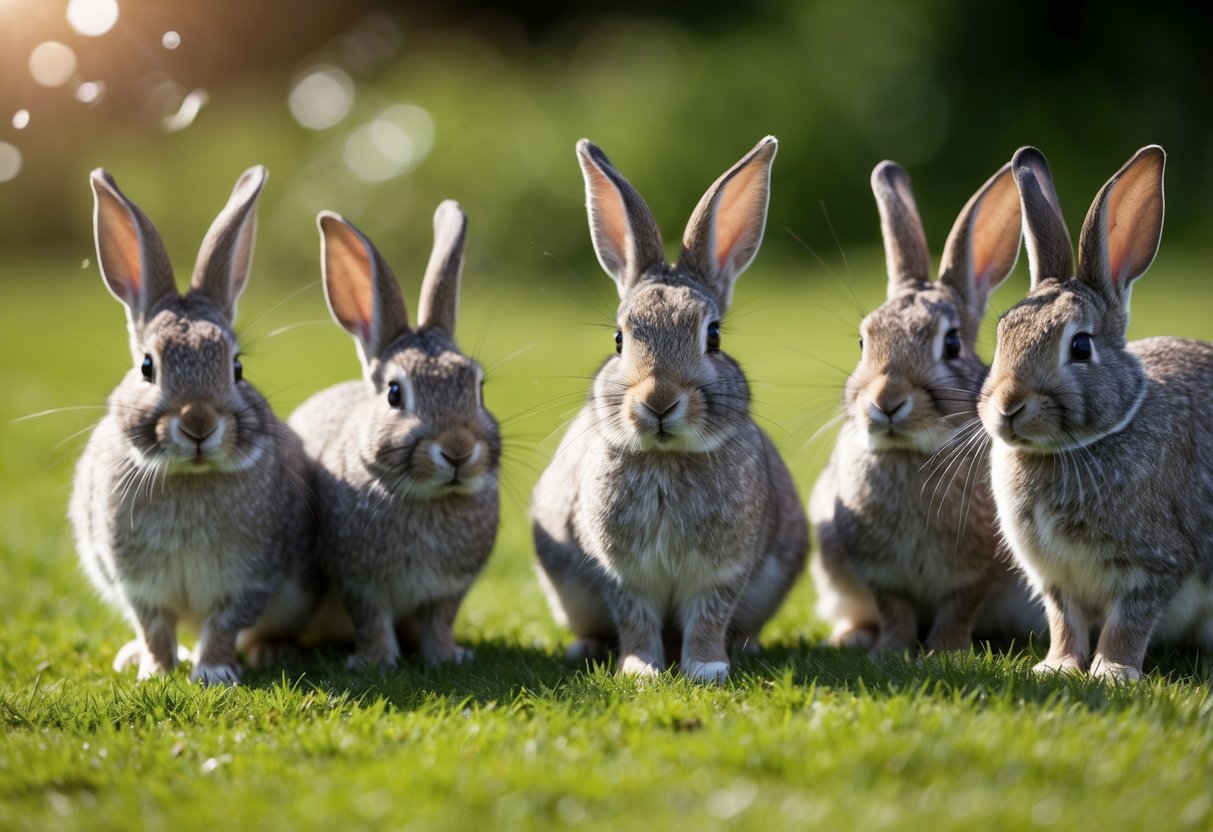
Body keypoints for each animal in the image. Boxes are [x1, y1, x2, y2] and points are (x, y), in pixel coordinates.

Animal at [69, 166, 319, 686]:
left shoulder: (249, 580)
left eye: (237, 368)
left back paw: (270, 652)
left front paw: (214, 673)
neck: (191, 476)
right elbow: (154, 627)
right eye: (147, 367)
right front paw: (156, 671)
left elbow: (224, 624)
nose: (199, 423)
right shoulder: (139, 586)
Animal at [288, 201, 500, 670]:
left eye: (478, 388)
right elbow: (371, 620)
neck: (427, 499)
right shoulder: (358, 584)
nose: (458, 450)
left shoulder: (449, 590)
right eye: (394, 393)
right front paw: (374, 663)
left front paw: (447, 657)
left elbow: (441, 620)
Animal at [531, 136, 809, 685]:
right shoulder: (619, 575)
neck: (666, 456)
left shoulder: (724, 573)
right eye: (619, 339)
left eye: (714, 336)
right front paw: (641, 671)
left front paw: (706, 668)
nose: (659, 401)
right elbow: (635, 621)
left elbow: (709, 616)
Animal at [810, 159, 1044, 655]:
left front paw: (945, 649)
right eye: (864, 342)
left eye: (951, 343)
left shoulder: (974, 574)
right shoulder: (881, 574)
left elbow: (959, 606)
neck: (910, 452)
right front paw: (891, 650)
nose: (887, 401)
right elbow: (893, 608)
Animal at [980, 144, 1213, 682]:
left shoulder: (1153, 566)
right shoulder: (1055, 578)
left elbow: (1128, 622)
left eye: (1080, 347)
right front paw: (1057, 668)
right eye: (1003, 333)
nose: (1007, 406)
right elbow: (1063, 620)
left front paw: (1113, 673)